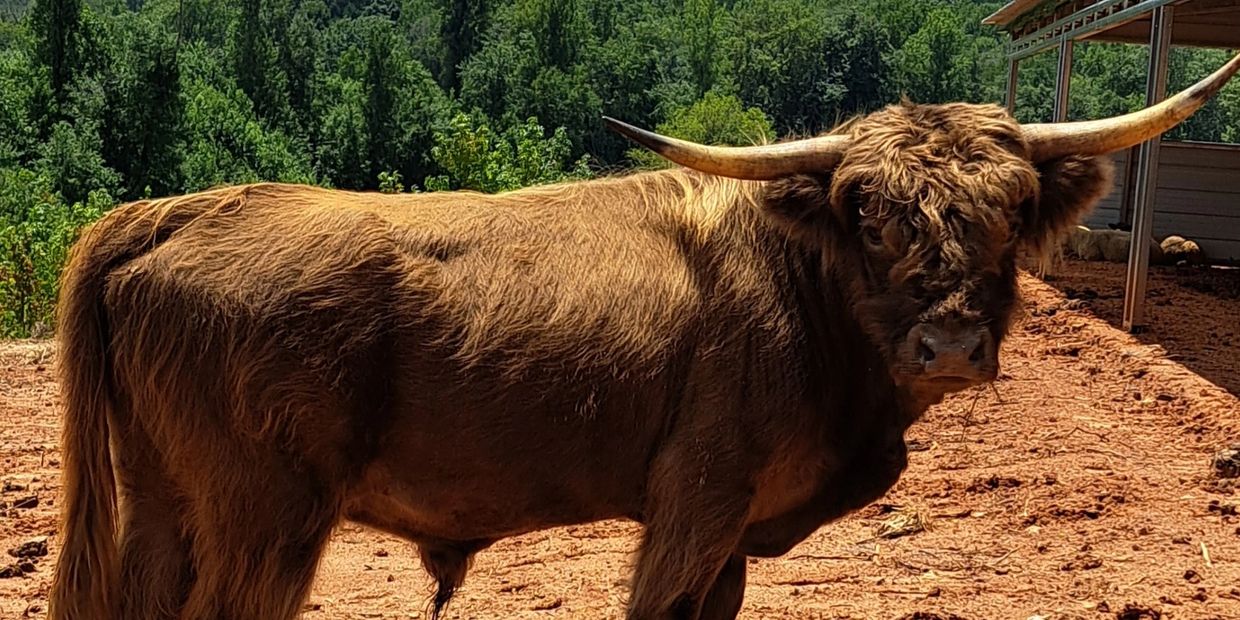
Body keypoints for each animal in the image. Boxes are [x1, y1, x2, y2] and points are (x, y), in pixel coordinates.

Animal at [50, 54, 1240, 620]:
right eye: (865, 210)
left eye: (1009, 208)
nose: (948, 345)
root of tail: (180, 207)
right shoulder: (695, 503)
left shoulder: (731, 537)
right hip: (265, 519)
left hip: (167, 507)